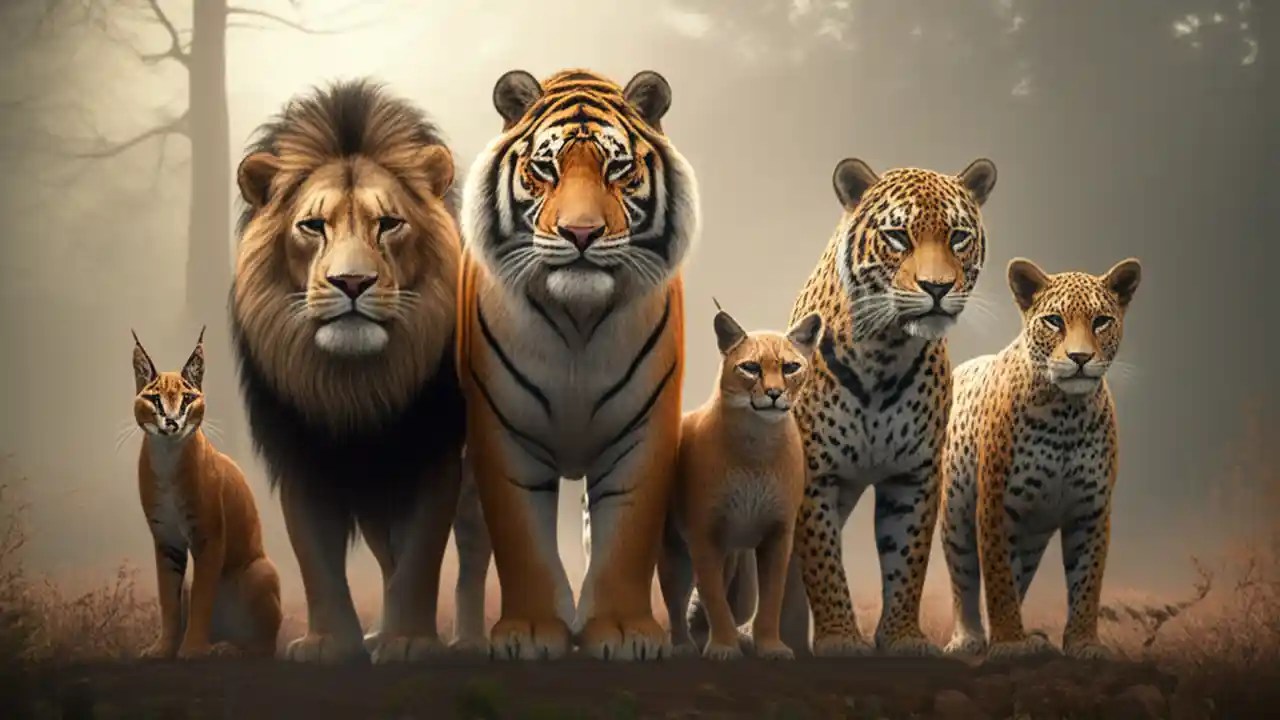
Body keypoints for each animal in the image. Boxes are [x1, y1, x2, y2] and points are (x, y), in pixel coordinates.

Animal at [453, 68, 700, 661]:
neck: (578, 323)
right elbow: (520, 538)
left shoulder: (643, 430)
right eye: (545, 168)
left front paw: (621, 631)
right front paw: (532, 631)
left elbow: (626, 536)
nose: (582, 234)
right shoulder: (503, 432)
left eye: (618, 167)